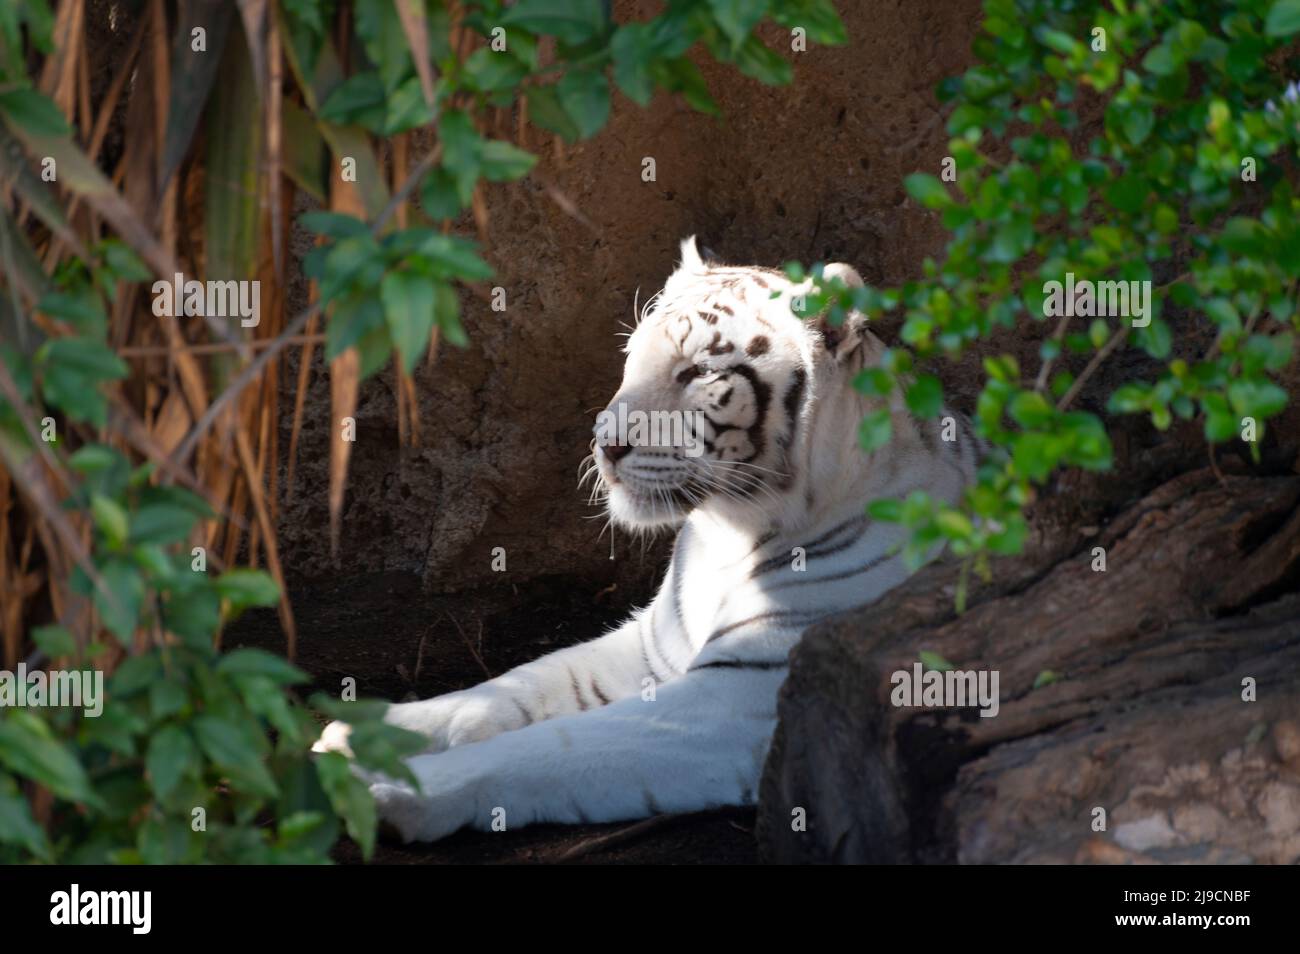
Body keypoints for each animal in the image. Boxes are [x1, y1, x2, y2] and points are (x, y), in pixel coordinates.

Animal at [314, 236, 980, 843]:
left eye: (699, 372)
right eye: (633, 356)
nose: (603, 443)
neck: (728, 534)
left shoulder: (732, 697)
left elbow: (555, 744)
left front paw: (393, 789)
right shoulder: (652, 645)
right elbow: (517, 682)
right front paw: (363, 732)